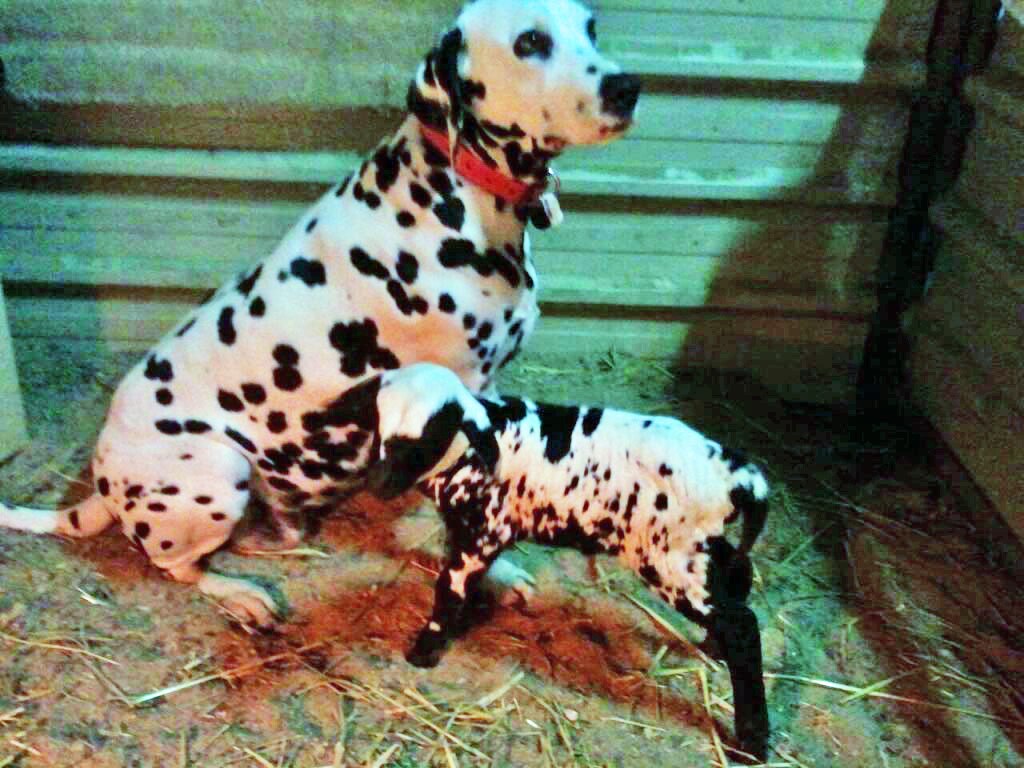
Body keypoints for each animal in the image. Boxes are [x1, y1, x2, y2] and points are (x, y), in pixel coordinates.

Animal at [357, 363, 770, 759]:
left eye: (426, 440)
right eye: (378, 428)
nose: (377, 485)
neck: (470, 453)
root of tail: (740, 475)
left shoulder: (483, 532)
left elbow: (449, 590)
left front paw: (422, 652)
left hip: (668, 559)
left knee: (742, 625)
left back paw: (751, 742)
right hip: (696, 547)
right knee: (739, 575)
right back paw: (714, 648)